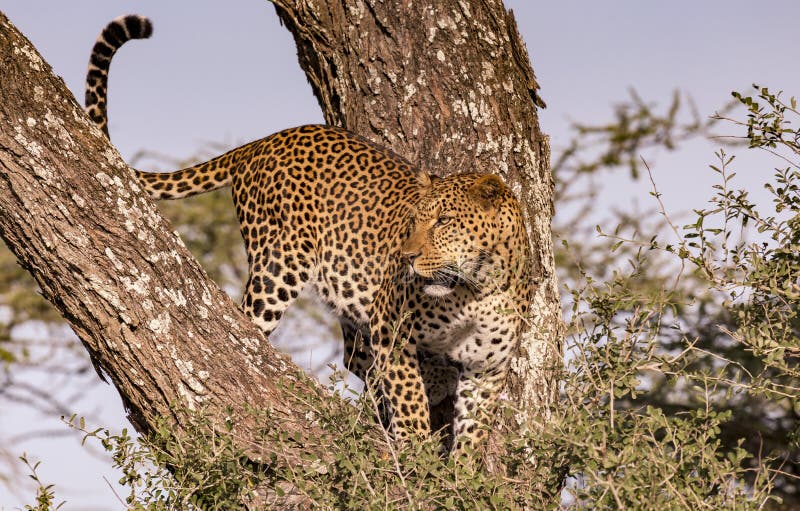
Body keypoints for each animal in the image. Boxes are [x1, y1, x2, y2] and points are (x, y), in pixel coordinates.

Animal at [85, 14, 534, 453]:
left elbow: (473, 435)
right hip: (280, 263)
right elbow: (408, 400)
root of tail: (264, 141)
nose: (406, 258)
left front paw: (460, 471)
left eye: (443, 221)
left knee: (355, 360)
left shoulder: (486, 370)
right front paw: (418, 457)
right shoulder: (391, 327)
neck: (477, 288)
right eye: (413, 222)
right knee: (250, 324)